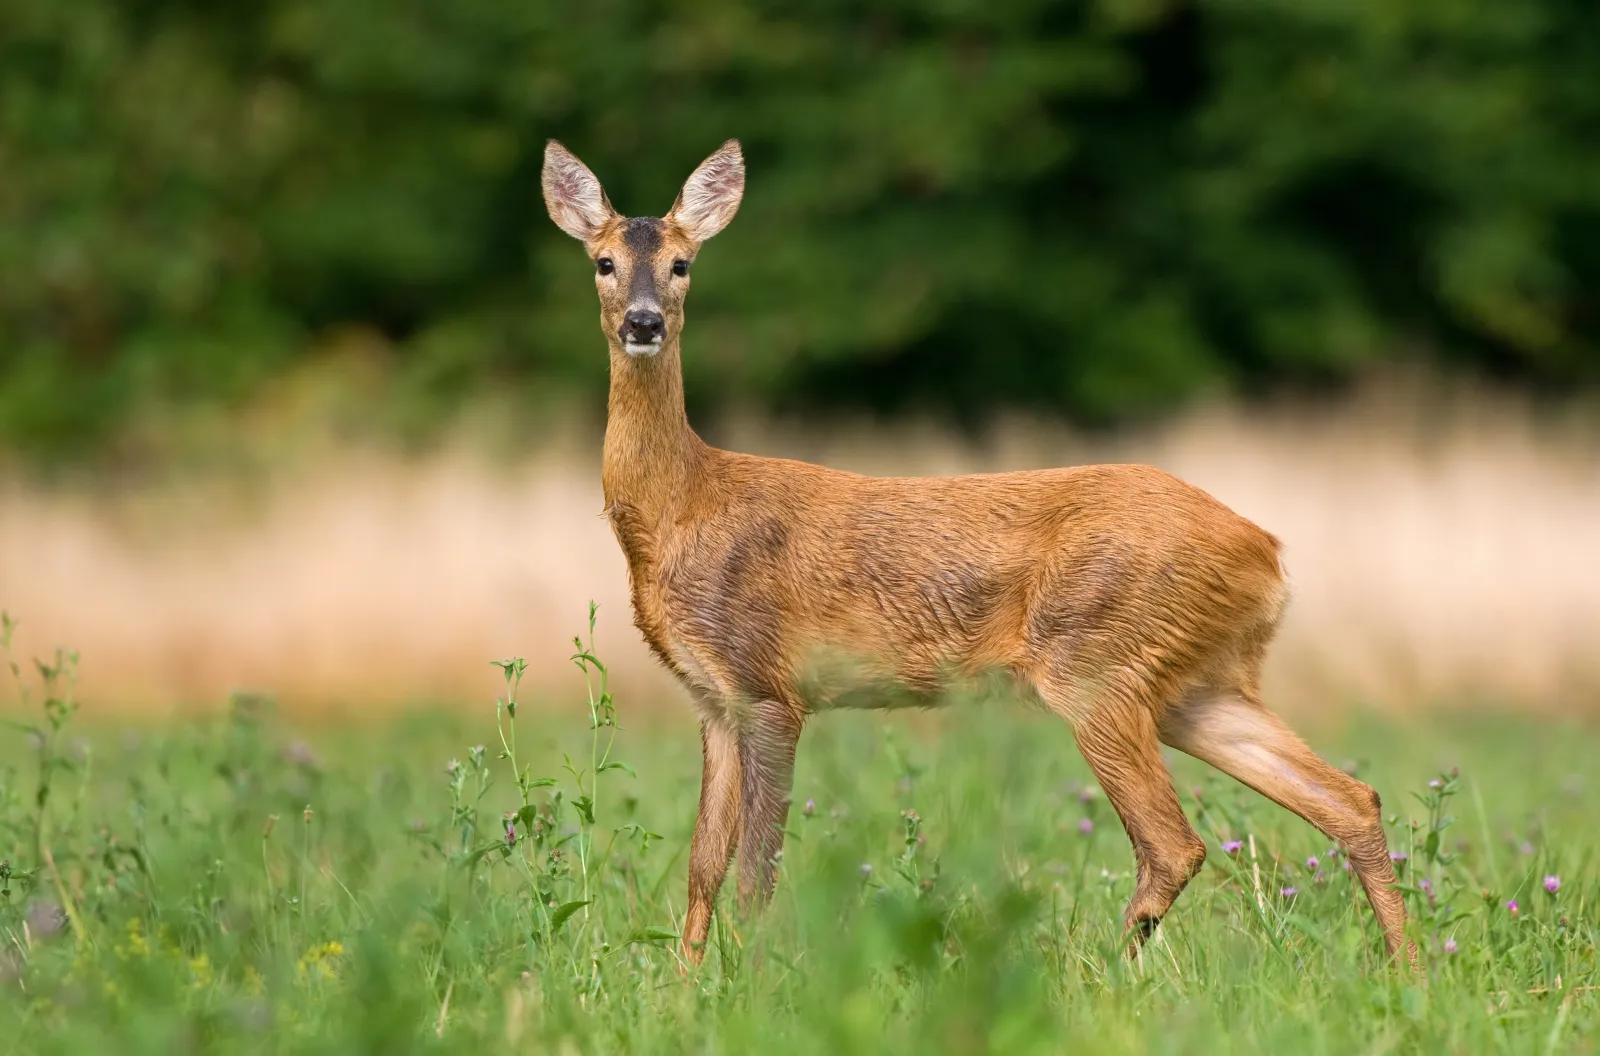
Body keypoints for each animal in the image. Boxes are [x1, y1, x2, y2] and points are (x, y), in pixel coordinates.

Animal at [541, 138, 1417, 970]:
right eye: (603, 262)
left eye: (683, 263)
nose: (644, 323)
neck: (683, 506)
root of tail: (1266, 552)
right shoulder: (711, 700)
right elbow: (702, 866)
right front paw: (686, 988)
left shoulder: (769, 687)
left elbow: (757, 874)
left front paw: (747, 985)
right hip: (1196, 684)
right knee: (1351, 799)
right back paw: (1408, 970)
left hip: (1096, 661)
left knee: (1174, 844)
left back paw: (1092, 974)